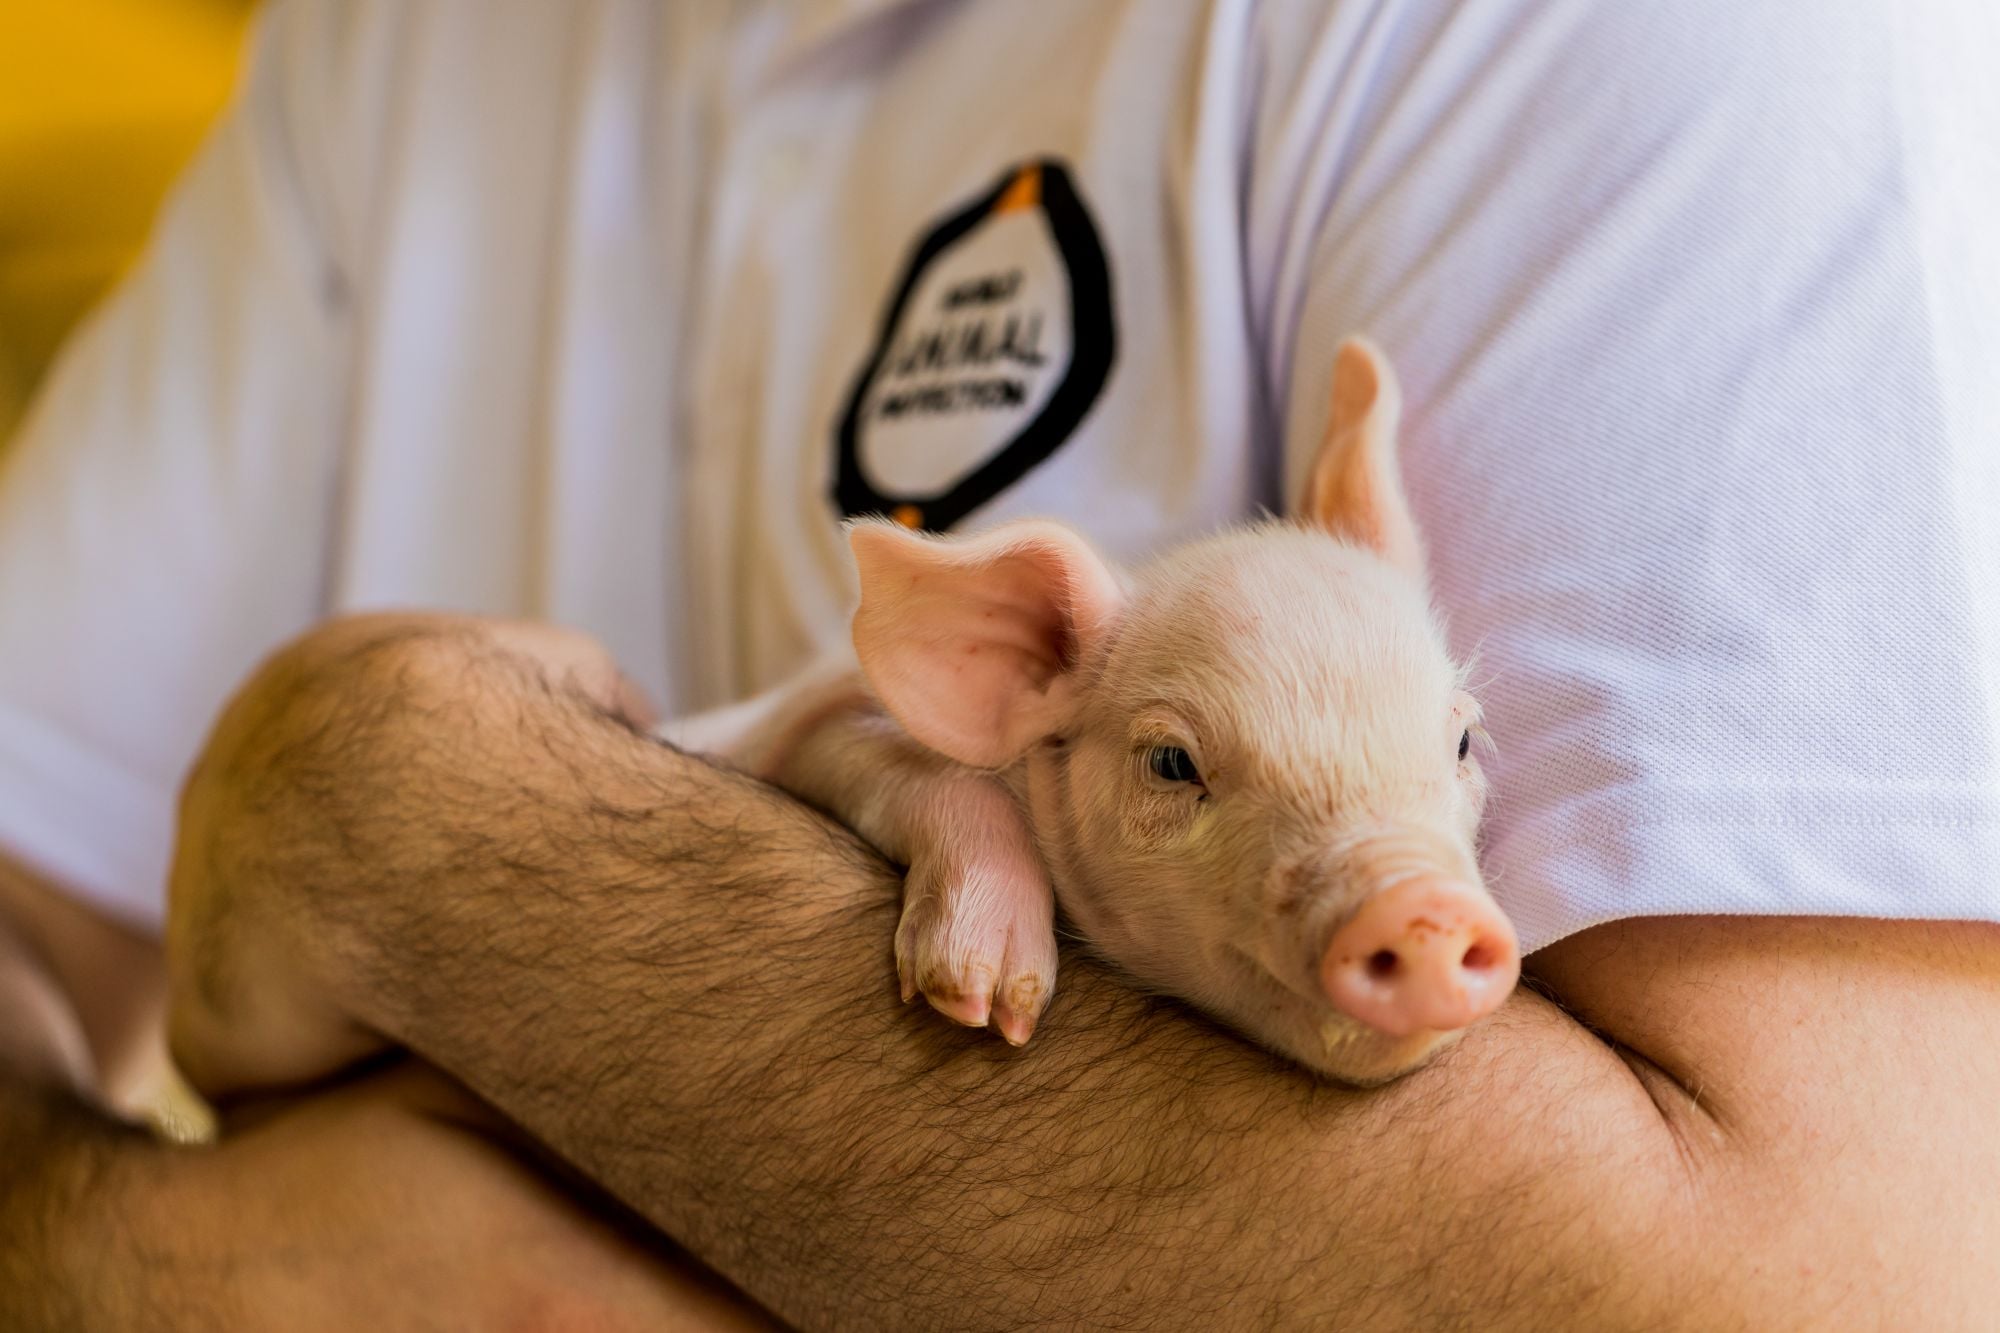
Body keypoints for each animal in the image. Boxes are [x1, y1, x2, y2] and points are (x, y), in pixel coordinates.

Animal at [666, 338, 1519, 1084]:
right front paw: (984, 1005)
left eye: (1464, 739)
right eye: (1172, 762)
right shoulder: (803, 731)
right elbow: (934, 776)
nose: (1421, 904)